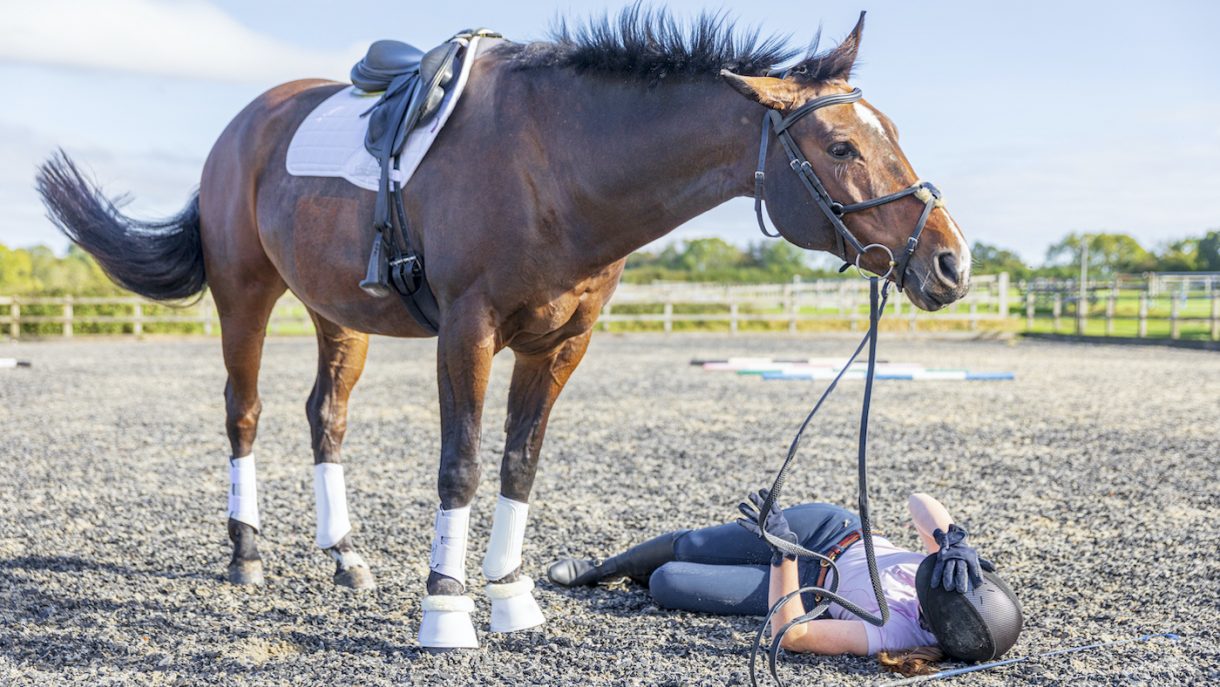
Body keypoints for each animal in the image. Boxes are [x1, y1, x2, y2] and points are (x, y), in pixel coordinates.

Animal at [35, 9, 971, 648]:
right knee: (245, 412)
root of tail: (244, 124)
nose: (950, 262)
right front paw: (447, 610)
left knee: (324, 418)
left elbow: (521, 462)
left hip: (338, 313)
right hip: (245, 293)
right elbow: (462, 464)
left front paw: (512, 598)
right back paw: (245, 553)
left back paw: (345, 556)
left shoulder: (561, 345)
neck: (555, 164)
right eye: (842, 146)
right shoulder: (469, 331)